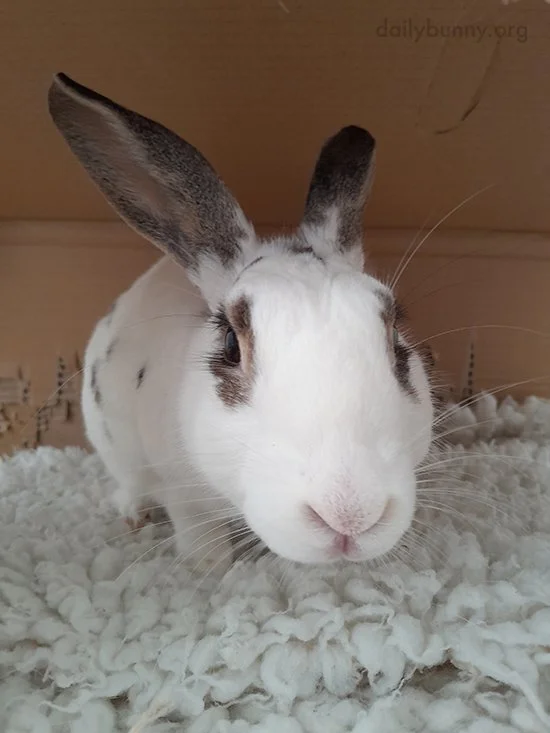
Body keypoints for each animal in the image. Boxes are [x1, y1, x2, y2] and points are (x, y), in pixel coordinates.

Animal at [48, 72, 435, 576]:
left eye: (394, 338)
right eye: (231, 345)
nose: (350, 515)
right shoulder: (182, 493)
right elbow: (197, 528)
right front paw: (208, 566)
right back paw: (136, 515)